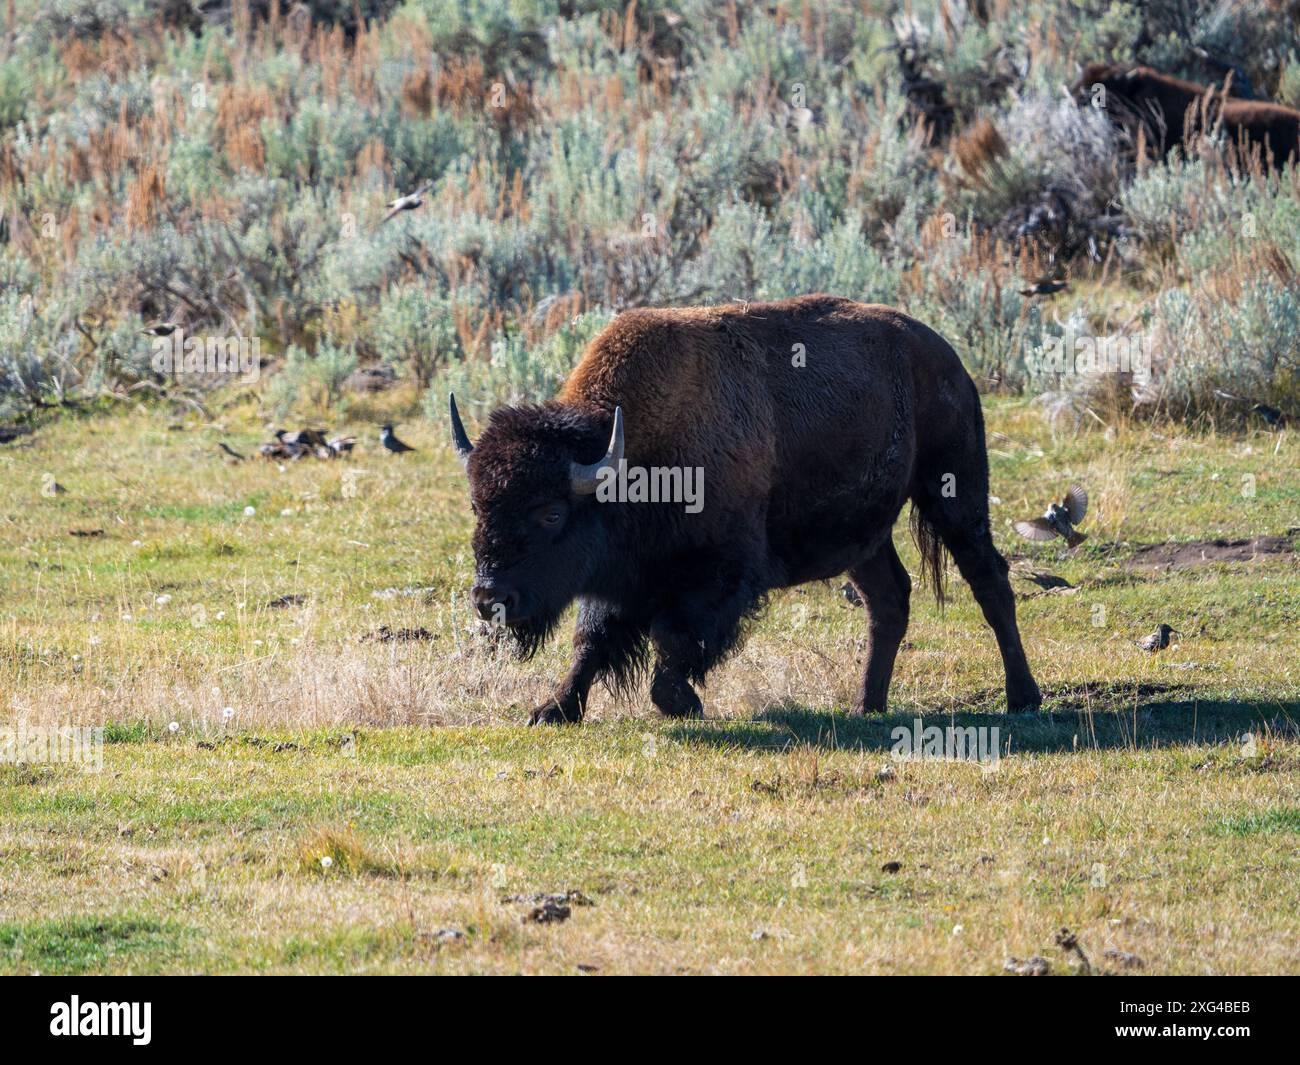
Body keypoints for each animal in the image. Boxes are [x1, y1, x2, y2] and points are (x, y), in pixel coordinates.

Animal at [449, 295, 1041, 724]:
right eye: (477, 505)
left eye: (551, 513)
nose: (489, 599)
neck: (629, 457)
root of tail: (948, 360)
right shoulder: (615, 579)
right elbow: (591, 639)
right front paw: (552, 709)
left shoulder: (720, 573)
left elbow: (673, 637)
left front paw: (681, 702)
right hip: (862, 536)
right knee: (889, 600)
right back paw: (865, 705)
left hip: (954, 491)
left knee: (990, 581)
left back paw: (1023, 698)